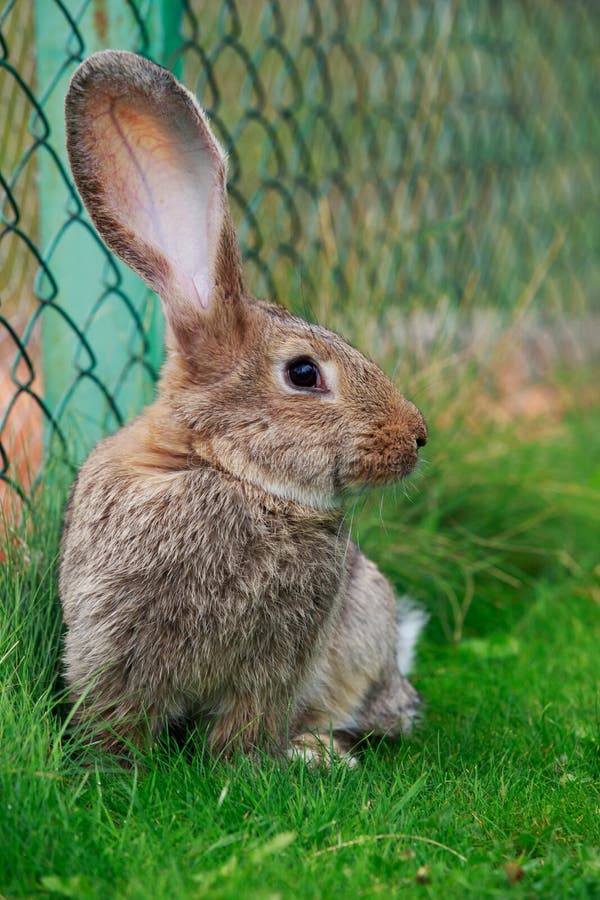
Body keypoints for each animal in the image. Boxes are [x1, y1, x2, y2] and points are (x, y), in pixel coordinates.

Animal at [60, 49, 428, 764]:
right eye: (304, 373)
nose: (417, 438)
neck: (224, 469)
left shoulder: (277, 663)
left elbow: (248, 722)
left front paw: (246, 764)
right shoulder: (112, 644)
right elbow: (118, 713)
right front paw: (113, 764)